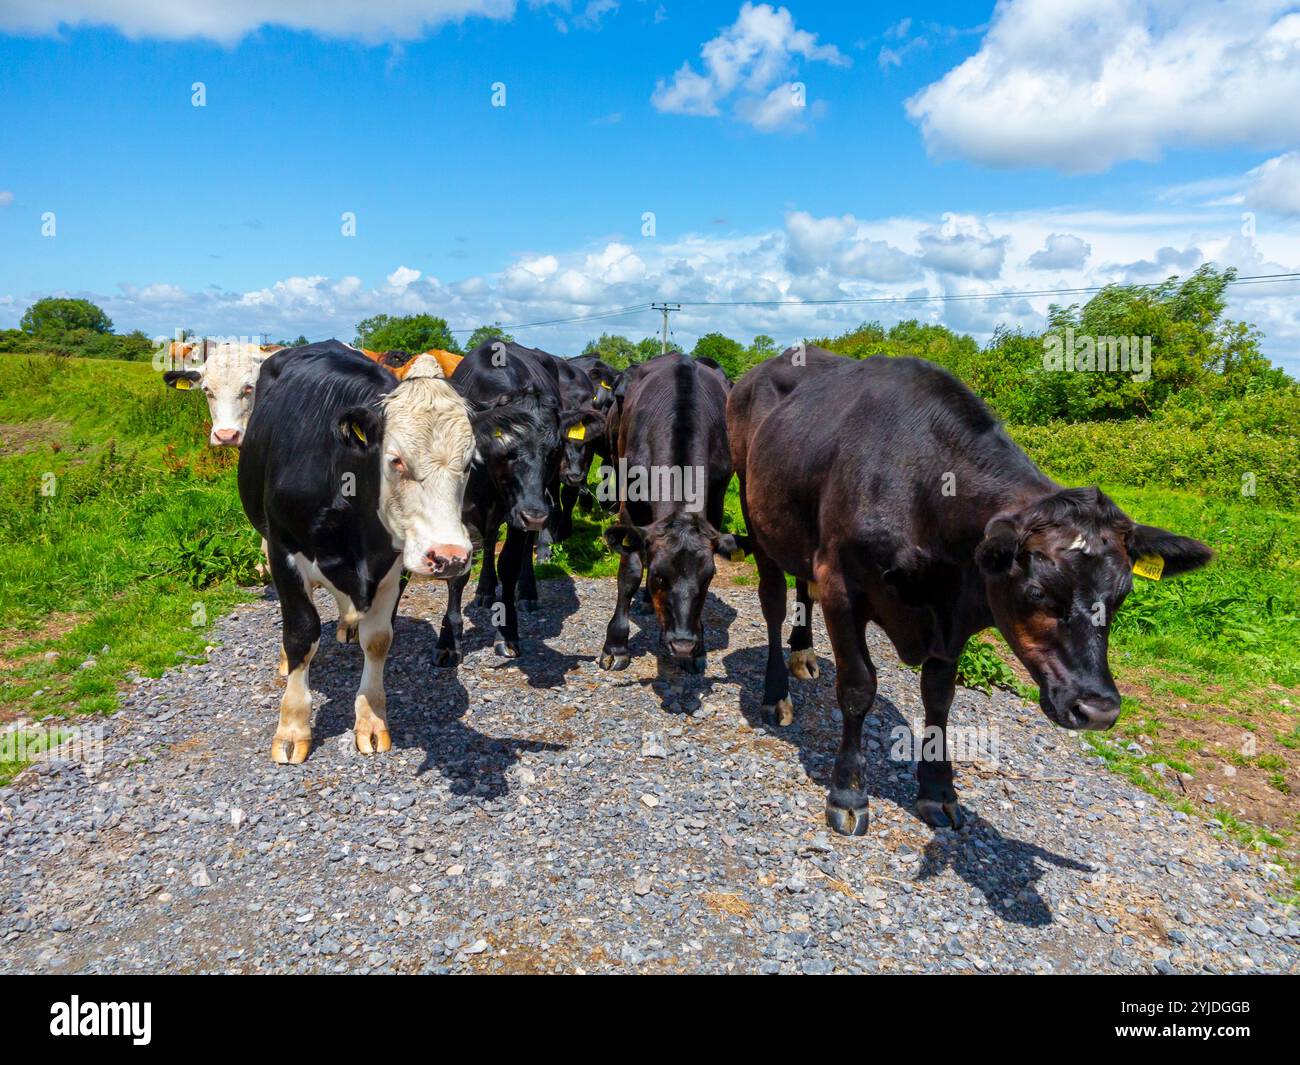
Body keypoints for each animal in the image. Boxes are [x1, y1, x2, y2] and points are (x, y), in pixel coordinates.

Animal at [238, 340, 482, 764]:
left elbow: (379, 638)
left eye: (469, 463)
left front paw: (370, 719)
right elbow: (301, 633)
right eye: (396, 460)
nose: (450, 555)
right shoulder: (284, 551)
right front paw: (292, 728)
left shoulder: (393, 562)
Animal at [434, 339, 563, 665]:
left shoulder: (517, 512)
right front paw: (448, 640)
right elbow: (458, 574)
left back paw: (527, 592)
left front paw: (507, 633)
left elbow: (509, 564)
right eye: (506, 450)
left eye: (553, 451)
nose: (536, 515)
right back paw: (484, 590)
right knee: (491, 537)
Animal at [600, 352, 744, 675]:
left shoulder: (715, 502)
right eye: (658, 576)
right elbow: (629, 571)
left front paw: (698, 649)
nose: (683, 644)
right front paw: (615, 645)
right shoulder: (630, 506)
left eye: (708, 578)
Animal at [728, 347, 1212, 835]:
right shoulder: (840, 584)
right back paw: (775, 694)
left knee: (800, 587)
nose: (1099, 711)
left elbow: (939, 697)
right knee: (773, 600)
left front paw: (938, 791)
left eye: (1123, 595)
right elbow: (858, 687)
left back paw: (803, 654)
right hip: (754, 508)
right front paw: (848, 792)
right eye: (1037, 591)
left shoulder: (957, 614)